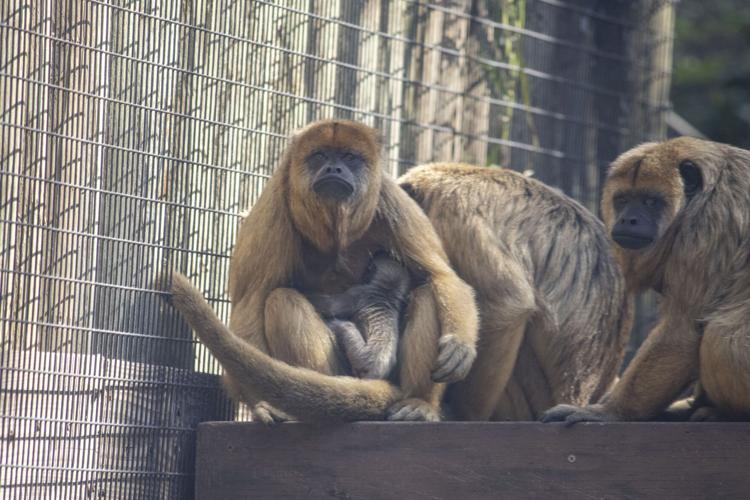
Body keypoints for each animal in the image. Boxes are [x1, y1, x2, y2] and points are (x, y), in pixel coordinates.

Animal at [164, 119, 479, 423]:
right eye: (320, 156)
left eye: (349, 157)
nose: (334, 168)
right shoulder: (274, 206)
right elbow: (252, 300)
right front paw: (262, 403)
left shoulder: (391, 200)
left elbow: (442, 276)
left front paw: (460, 343)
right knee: (281, 301)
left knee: (427, 293)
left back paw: (419, 402)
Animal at [542, 137, 750, 423]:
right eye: (623, 200)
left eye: (651, 201)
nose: (628, 219)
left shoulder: (711, 225)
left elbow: (682, 332)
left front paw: (608, 412)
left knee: (722, 334)